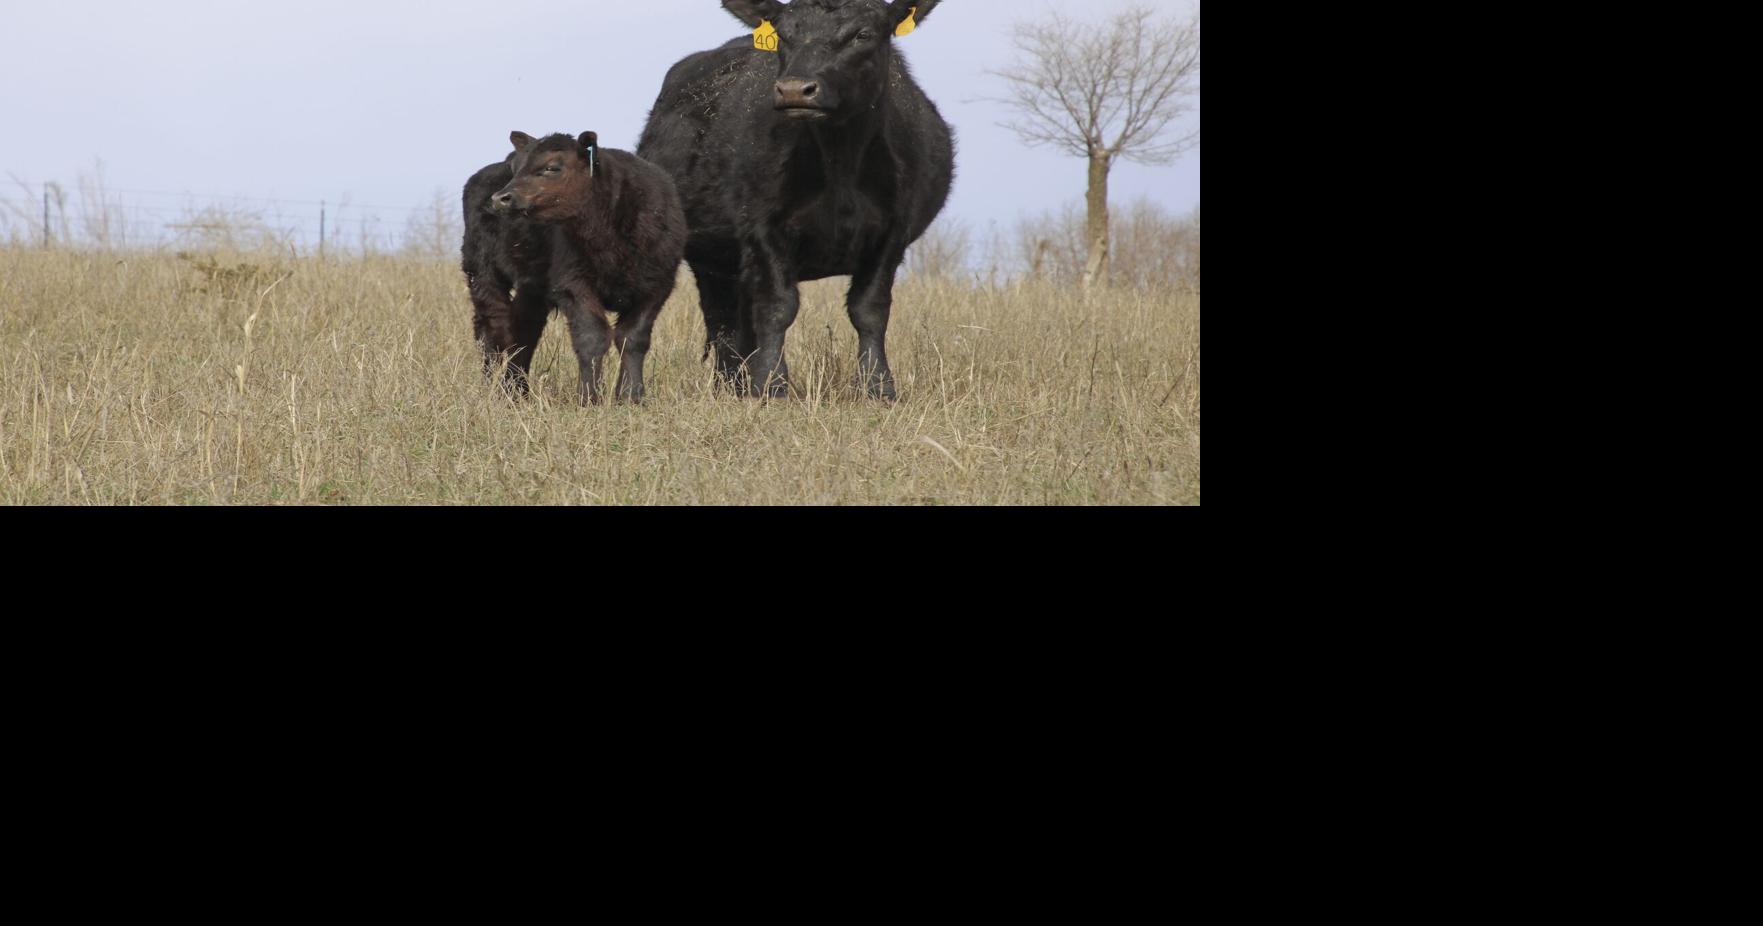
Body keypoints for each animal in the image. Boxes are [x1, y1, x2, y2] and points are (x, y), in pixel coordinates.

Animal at [462, 131, 688, 404]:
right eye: (516, 167)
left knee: (523, 331)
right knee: (494, 330)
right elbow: (592, 337)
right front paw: (589, 396)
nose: (500, 198)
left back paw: (516, 391)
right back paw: (494, 388)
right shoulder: (573, 283)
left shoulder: (658, 285)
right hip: (481, 272)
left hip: (532, 286)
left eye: (552, 167)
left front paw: (631, 396)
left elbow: (633, 338)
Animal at [637, 0, 955, 400]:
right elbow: (778, 307)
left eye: (862, 34)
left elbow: (870, 309)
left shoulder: (892, 233)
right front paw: (772, 384)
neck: (839, 162)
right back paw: (732, 385)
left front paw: (878, 387)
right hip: (711, 256)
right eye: (783, 35)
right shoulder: (762, 230)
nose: (793, 90)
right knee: (724, 322)